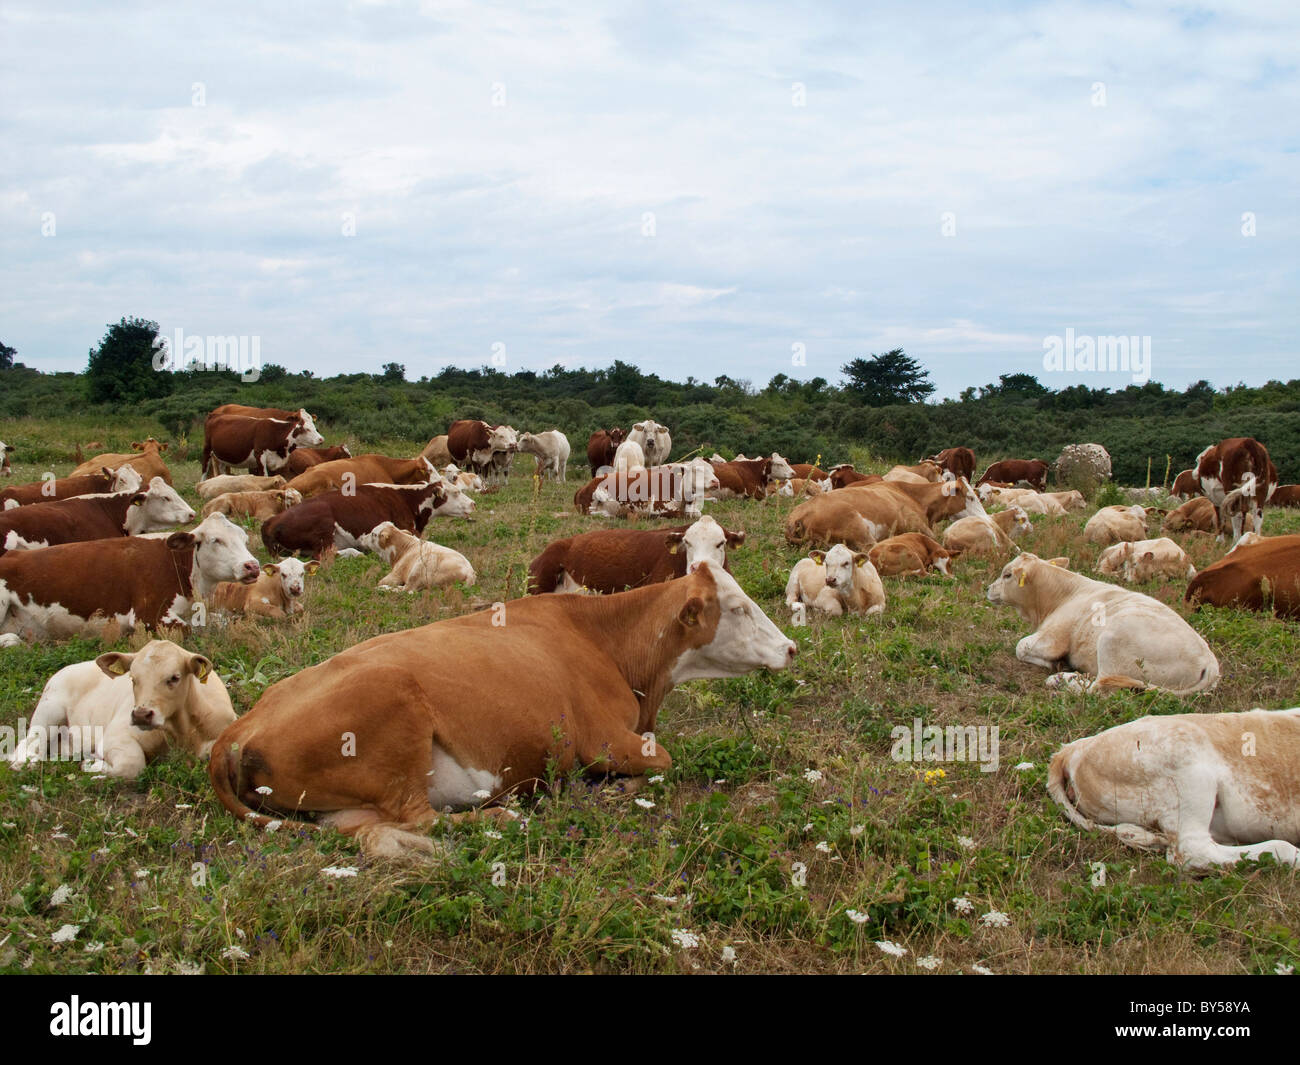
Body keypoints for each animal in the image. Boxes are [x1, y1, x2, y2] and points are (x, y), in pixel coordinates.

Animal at [0, 513, 260, 645]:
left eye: (245, 539)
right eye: (216, 540)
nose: (252, 566)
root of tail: (11, 556)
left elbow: (223, 621)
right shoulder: (150, 615)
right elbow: (190, 630)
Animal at [7, 640, 236, 778]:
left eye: (174, 677)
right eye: (133, 678)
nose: (141, 715)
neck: (184, 733)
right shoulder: (114, 736)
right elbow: (131, 764)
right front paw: (93, 764)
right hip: (49, 710)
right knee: (28, 740)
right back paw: (24, 762)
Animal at [207, 562, 797, 856]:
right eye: (739, 608)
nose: (791, 647)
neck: (608, 641)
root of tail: (238, 728)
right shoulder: (605, 739)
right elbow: (664, 761)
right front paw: (606, 790)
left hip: (336, 807)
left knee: (373, 827)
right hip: (395, 708)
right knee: (423, 818)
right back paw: (503, 815)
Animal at [261, 480, 473, 558]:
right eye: (456, 492)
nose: (473, 504)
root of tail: (270, 523)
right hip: (323, 525)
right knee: (326, 554)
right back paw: (356, 552)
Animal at [986, 553, 1219, 695]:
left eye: (1007, 575)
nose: (988, 588)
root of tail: (1209, 662)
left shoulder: (1053, 638)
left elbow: (1021, 647)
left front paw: (1055, 664)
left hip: (1112, 639)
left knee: (1099, 686)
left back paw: (1061, 679)